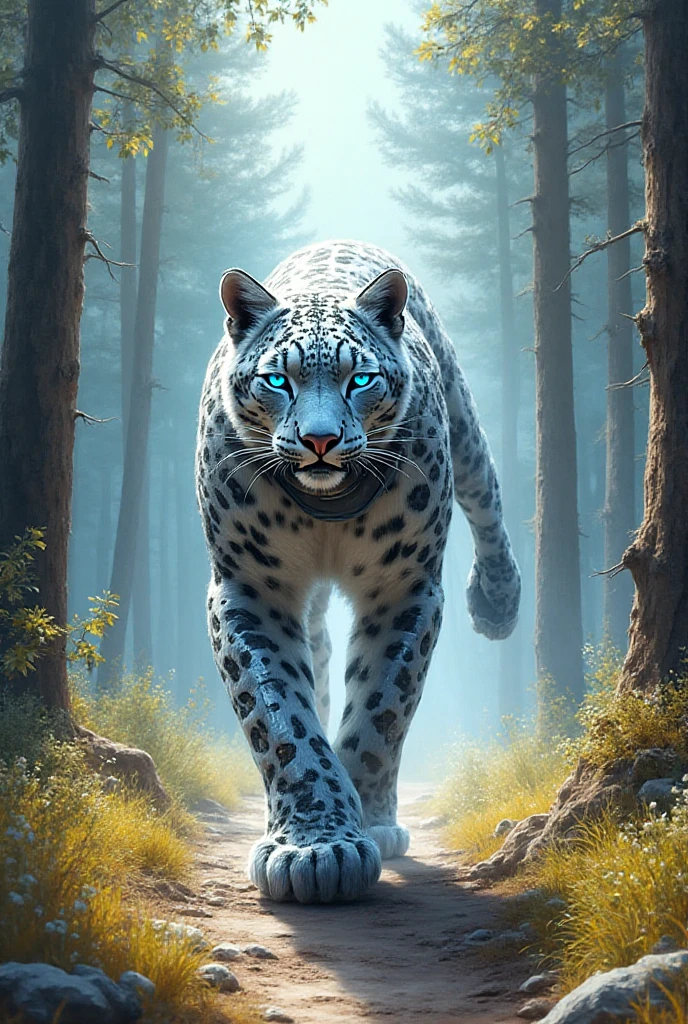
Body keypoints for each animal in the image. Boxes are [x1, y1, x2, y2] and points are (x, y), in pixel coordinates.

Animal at [196, 239, 520, 904]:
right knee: (317, 661)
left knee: (486, 489)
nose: (320, 440)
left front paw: (360, 824)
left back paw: (498, 602)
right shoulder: (249, 587)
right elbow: (279, 715)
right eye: (278, 379)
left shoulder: (405, 586)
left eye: (360, 379)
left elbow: (382, 708)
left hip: (463, 423)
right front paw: (314, 846)